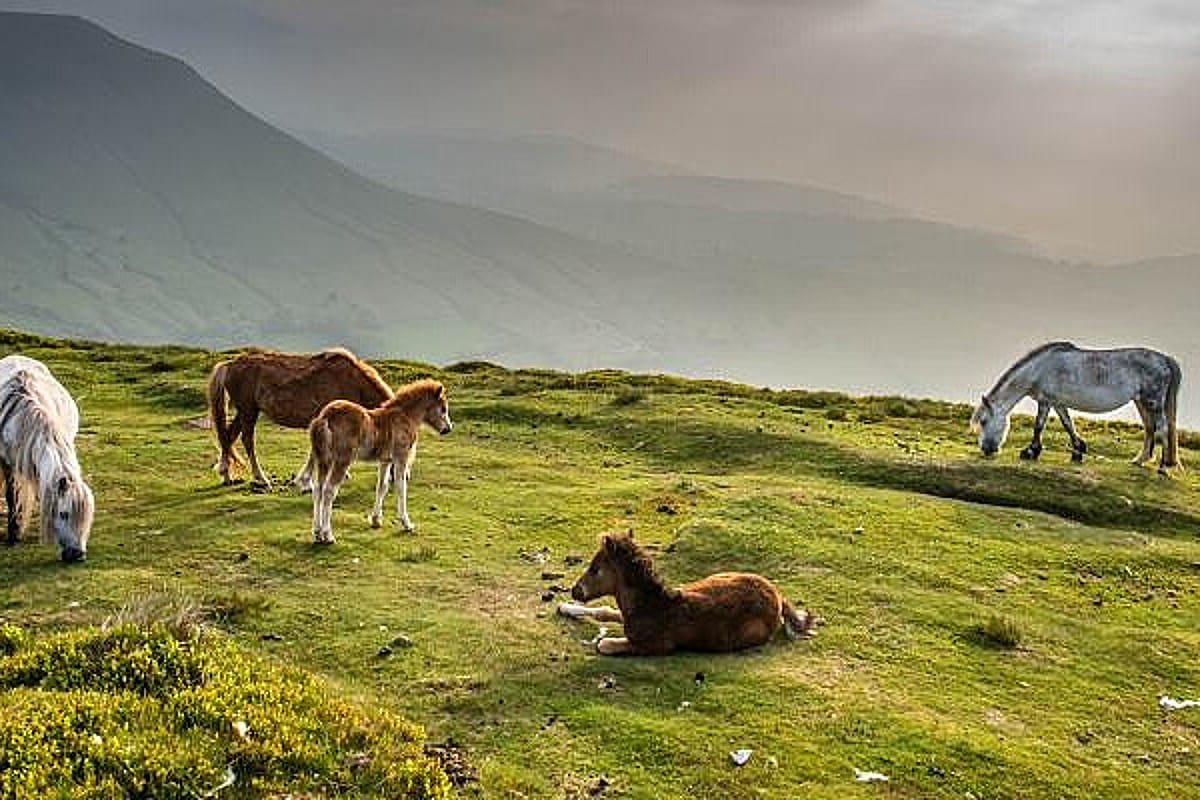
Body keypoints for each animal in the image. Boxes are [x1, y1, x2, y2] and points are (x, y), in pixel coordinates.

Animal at [0, 355, 95, 562]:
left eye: (87, 515)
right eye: (64, 514)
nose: (77, 555)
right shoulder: (5, 462)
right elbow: (12, 494)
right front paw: (13, 533)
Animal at [207, 348, 393, 486]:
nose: (393, 479)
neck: (352, 382)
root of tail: (230, 365)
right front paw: (305, 479)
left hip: (245, 411)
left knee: (228, 436)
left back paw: (226, 474)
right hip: (248, 410)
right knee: (246, 440)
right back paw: (261, 478)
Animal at [307, 379, 452, 544]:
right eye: (443, 408)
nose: (448, 429)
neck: (405, 416)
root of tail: (324, 417)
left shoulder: (385, 460)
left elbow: (382, 486)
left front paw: (376, 520)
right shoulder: (400, 457)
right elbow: (401, 486)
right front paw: (407, 523)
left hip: (324, 460)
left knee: (318, 489)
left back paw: (317, 532)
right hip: (341, 461)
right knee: (329, 490)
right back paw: (328, 534)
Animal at [558, 532, 817, 656]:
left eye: (595, 569)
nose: (575, 590)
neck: (653, 606)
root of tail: (777, 595)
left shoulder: (656, 647)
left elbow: (606, 645)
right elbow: (605, 610)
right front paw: (565, 607)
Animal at [971, 342, 1182, 473]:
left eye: (984, 421)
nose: (986, 449)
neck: (1038, 369)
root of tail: (1164, 359)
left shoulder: (1045, 401)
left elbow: (1038, 426)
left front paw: (1030, 452)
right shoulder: (1058, 403)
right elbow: (1068, 424)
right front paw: (1078, 451)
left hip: (1153, 401)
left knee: (1163, 429)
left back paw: (1163, 467)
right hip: (1142, 402)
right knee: (1150, 428)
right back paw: (1140, 460)